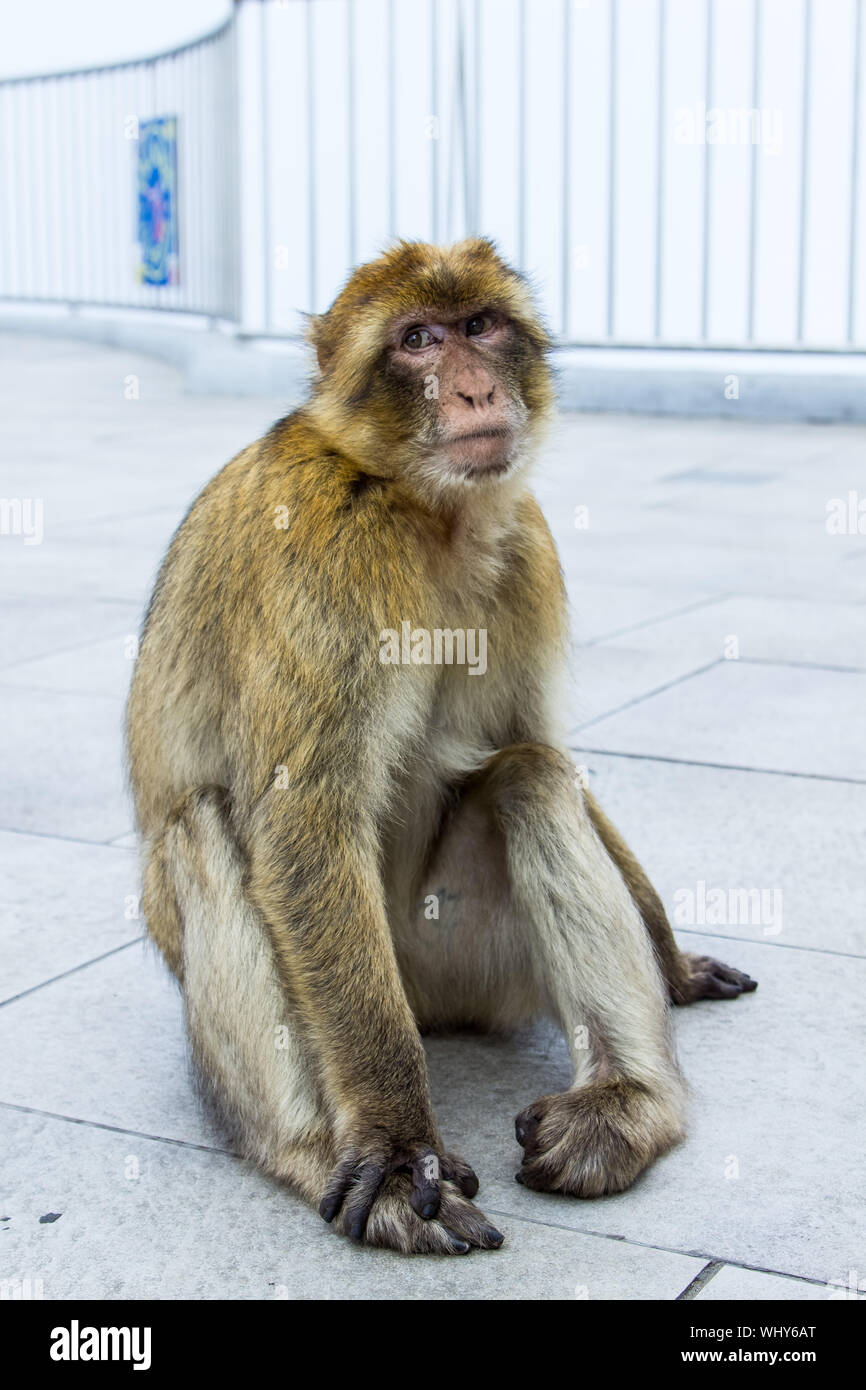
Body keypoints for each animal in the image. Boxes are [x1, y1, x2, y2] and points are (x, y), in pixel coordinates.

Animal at [126, 237, 756, 1256]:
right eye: (418, 339)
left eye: (481, 327)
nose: (472, 389)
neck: (427, 511)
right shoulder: (325, 547)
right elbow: (303, 826)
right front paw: (392, 1147)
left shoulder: (528, 543)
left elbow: (538, 743)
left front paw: (673, 963)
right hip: (386, 976)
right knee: (203, 828)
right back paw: (316, 1153)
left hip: (463, 965)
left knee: (531, 779)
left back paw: (622, 1106)